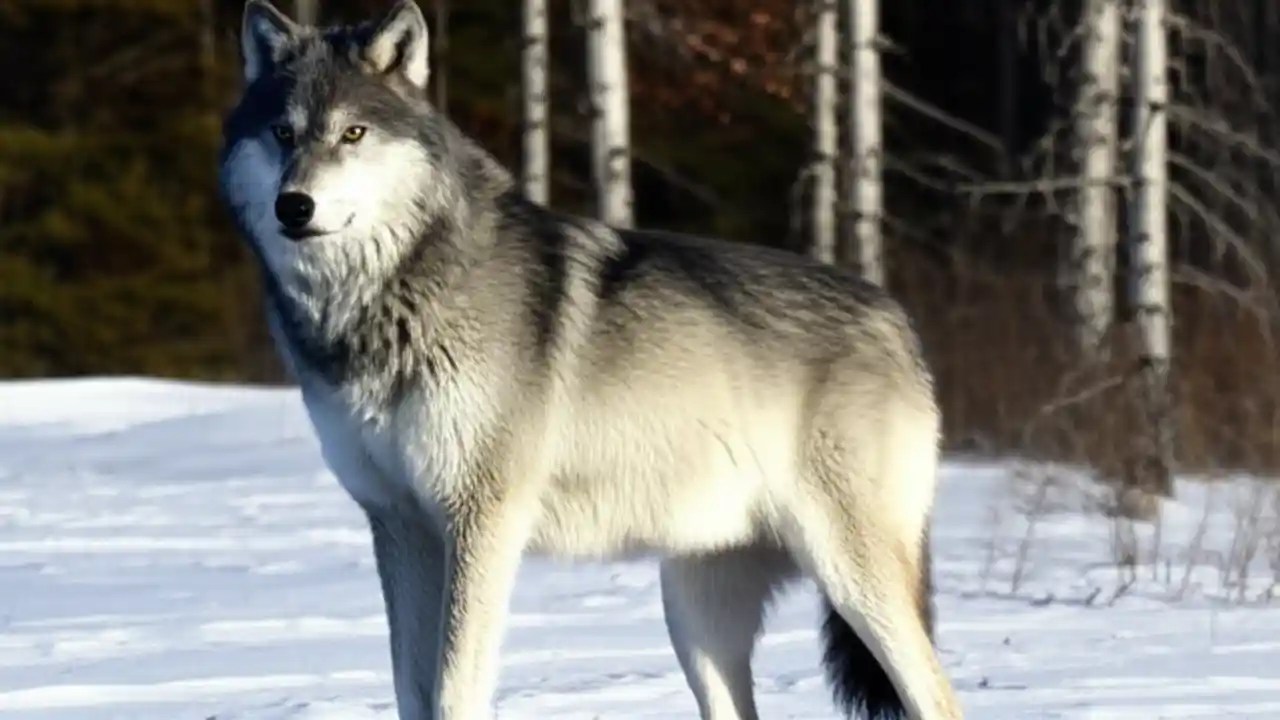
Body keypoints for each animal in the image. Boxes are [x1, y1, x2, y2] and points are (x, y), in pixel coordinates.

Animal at [217, 1, 963, 718]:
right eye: (282, 133)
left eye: (352, 134)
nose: (294, 205)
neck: (384, 300)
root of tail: (897, 319)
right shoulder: (400, 525)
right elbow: (411, 689)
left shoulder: (480, 521)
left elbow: (455, 689)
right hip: (694, 614)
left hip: (851, 578)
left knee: (939, 696)